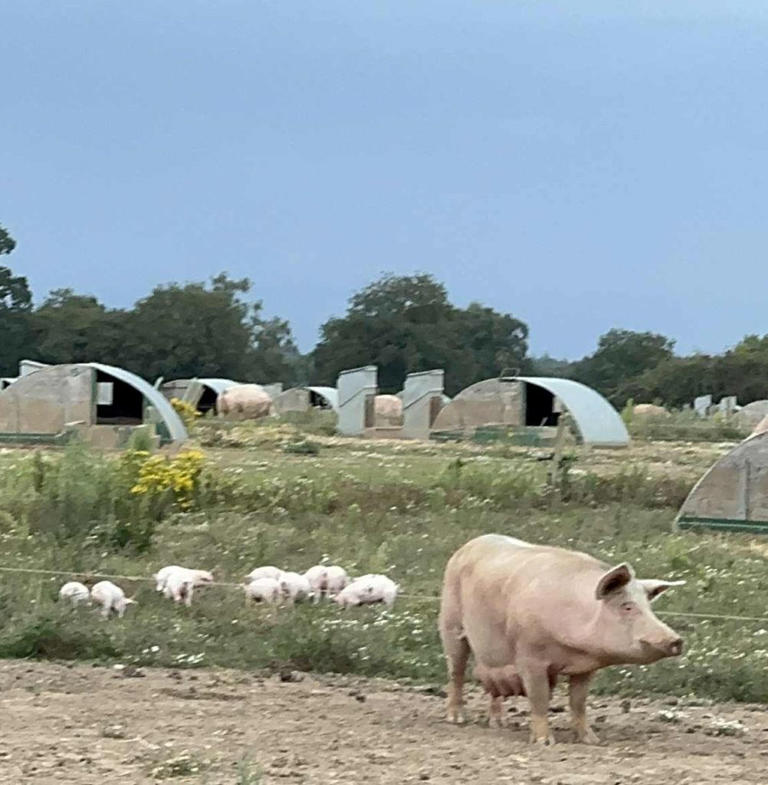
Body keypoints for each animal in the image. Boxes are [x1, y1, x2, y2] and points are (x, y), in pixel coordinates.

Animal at [439, 534, 684, 745]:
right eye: (627, 607)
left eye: (649, 607)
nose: (676, 640)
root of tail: (467, 546)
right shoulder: (530, 657)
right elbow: (539, 698)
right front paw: (544, 742)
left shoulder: (586, 668)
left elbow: (578, 702)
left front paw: (591, 740)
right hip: (450, 624)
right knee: (456, 672)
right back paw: (457, 719)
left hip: (489, 651)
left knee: (490, 683)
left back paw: (498, 724)